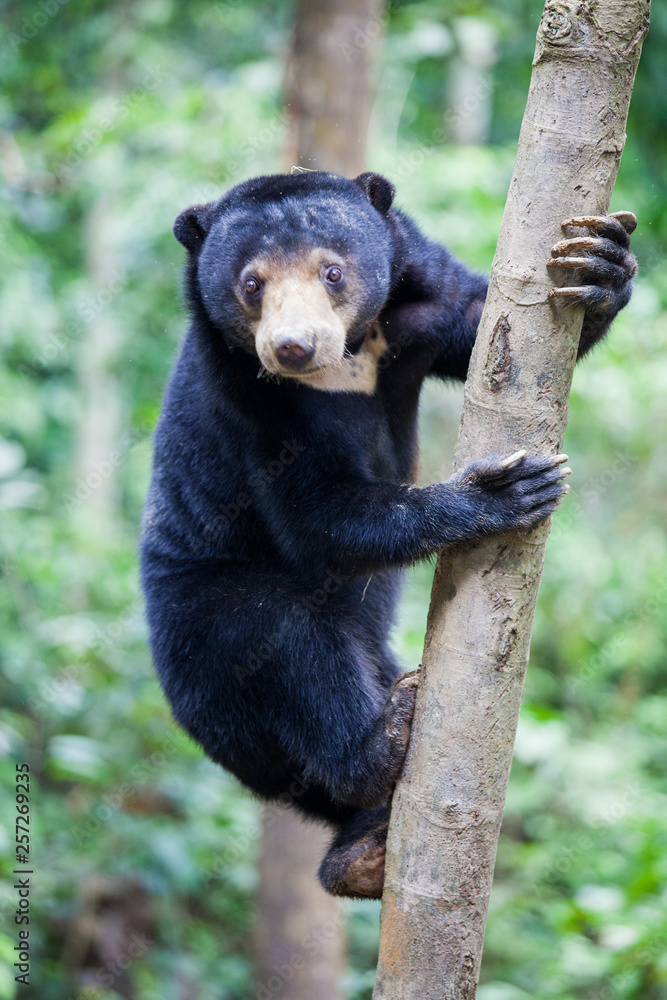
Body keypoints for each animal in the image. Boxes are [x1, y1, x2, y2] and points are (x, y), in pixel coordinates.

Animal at [139, 170, 637, 898]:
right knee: (291, 646)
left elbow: (483, 324)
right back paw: (384, 737)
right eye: (252, 283)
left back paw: (360, 854)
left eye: (333, 271)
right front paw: (507, 489)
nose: (292, 347)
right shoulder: (246, 399)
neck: (349, 359)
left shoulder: (423, 305)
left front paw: (597, 259)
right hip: (208, 608)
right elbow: (318, 518)